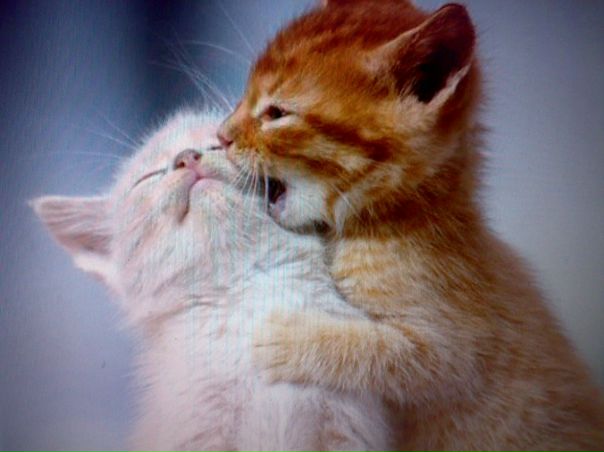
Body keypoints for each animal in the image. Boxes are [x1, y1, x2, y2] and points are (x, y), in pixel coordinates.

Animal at [217, 0, 604, 450]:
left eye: (277, 113)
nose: (221, 135)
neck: (397, 217)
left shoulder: (454, 351)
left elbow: (384, 356)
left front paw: (288, 337)